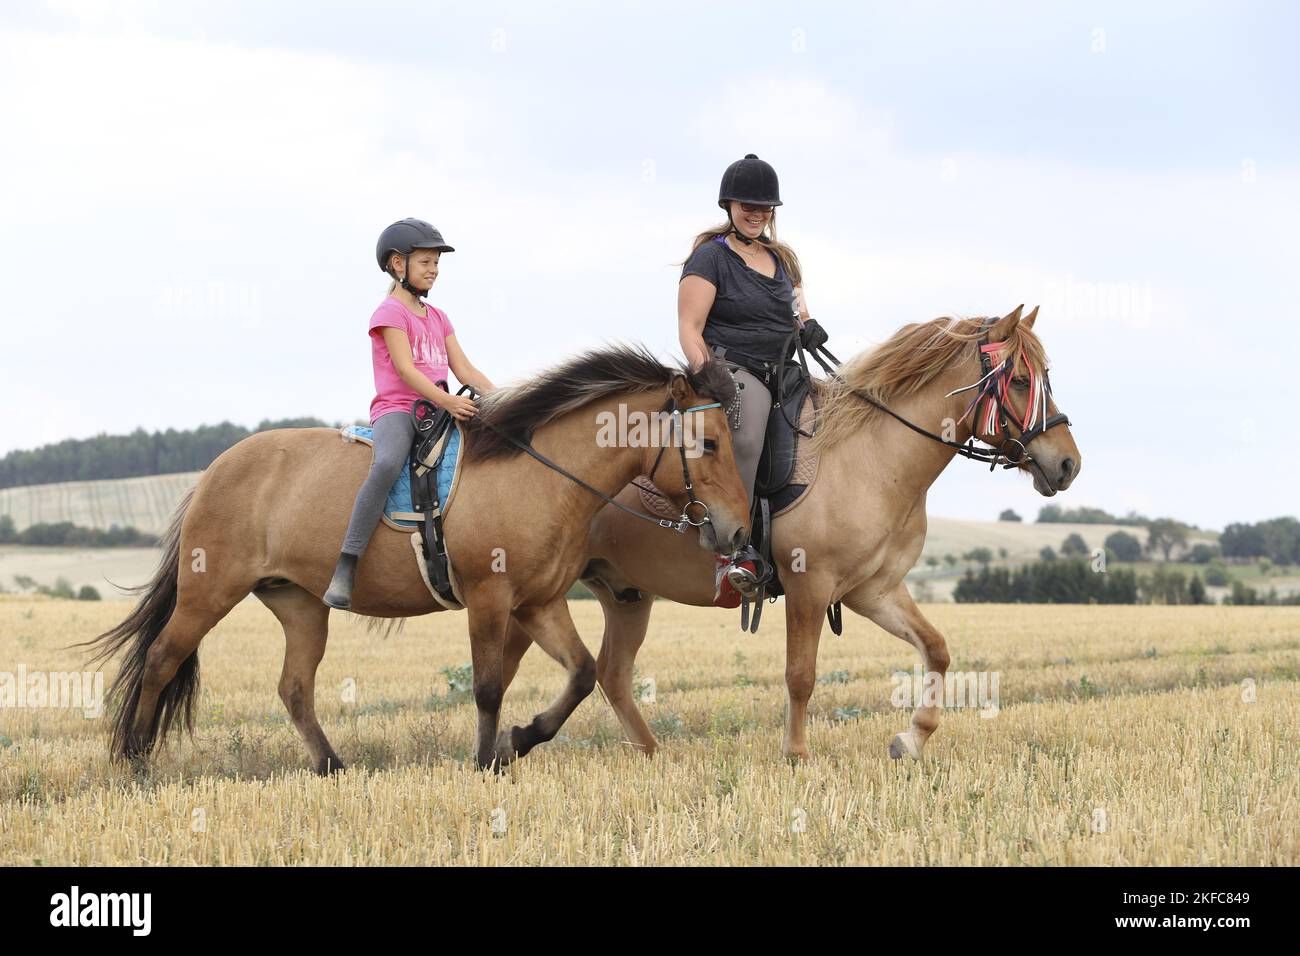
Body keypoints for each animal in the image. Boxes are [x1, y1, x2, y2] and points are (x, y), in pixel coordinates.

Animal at [80, 345, 751, 773]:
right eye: (707, 442)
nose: (738, 529)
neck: (541, 476)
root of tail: (213, 471)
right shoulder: (489, 598)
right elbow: (487, 685)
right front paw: (486, 761)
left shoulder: (537, 603)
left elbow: (582, 673)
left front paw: (519, 740)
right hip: (209, 591)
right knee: (162, 658)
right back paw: (135, 761)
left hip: (300, 605)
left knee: (294, 687)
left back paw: (330, 765)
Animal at [568, 305, 1081, 760]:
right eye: (1020, 381)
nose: (1068, 464)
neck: (874, 458)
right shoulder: (808, 586)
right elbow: (801, 674)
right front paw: (796, 753)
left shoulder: (874, 590)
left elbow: (936, 650)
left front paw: (912, 739)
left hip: (626, 595)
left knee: (612, 673)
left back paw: (648, 751)